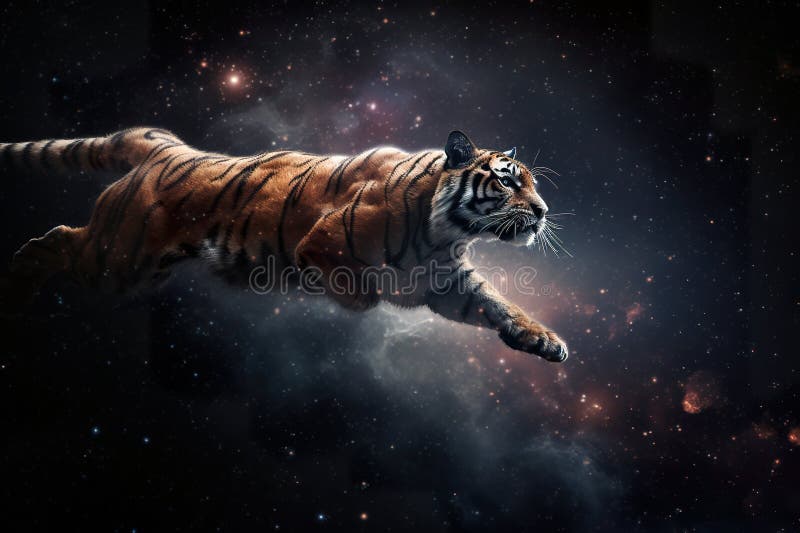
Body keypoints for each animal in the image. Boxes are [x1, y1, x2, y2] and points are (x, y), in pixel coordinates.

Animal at [0, 128, 568, 362]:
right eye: (508, 181)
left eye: (533, 183)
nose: (543, 212)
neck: (447, 232)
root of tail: (166, 147)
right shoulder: (322, 242)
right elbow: (357, 287)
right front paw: (371, 297)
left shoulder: (450, 281)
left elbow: (499, 304)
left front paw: (544, 341)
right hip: (119, 261)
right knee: (54, 238)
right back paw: (17, 285)